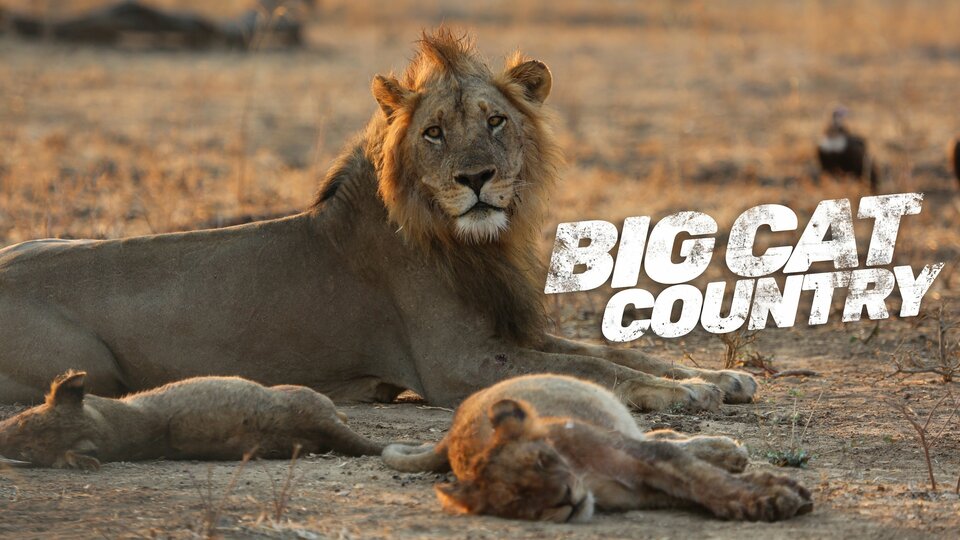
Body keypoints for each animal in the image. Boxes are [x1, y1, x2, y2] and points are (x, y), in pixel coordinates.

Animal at [0, 29, 756, 413]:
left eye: (496, 121)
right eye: (434, 133)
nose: (476, 179)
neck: (473, 244)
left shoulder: (508, 328)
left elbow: (612, 353)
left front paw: (713, 378)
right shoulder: (454, 362)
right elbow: (591, 371)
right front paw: (682, 392)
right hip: (90, 369)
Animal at [383, 374, 812, 523]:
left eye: (543, 461)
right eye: (518, 502)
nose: (566, 500)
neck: (586, 475)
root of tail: (446, 435)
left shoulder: (644, 459)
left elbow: (700, 475)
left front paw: (777, 495)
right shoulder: (643, 492)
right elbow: (701, 484)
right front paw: (766, 498)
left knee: (659, 434)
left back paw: (727, 449)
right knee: (661, 435)